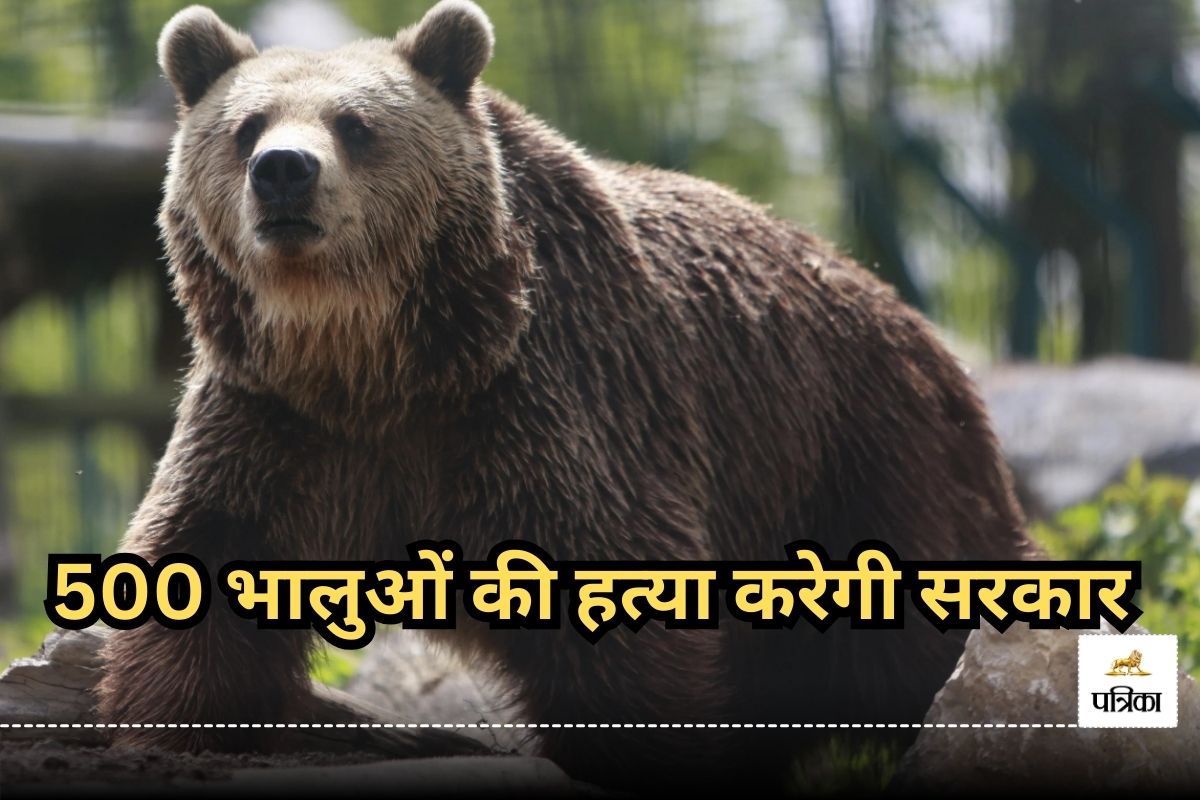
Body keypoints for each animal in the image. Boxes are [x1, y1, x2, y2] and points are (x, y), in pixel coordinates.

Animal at [97, 0, 1029, 792]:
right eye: (245, 126)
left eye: (355, 125)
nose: (283, 171)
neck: (376, 364)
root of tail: (916, 324)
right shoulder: (277, 424)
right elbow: (202, 557)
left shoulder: (545, 404)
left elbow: (613, 593)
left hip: (858, 457)